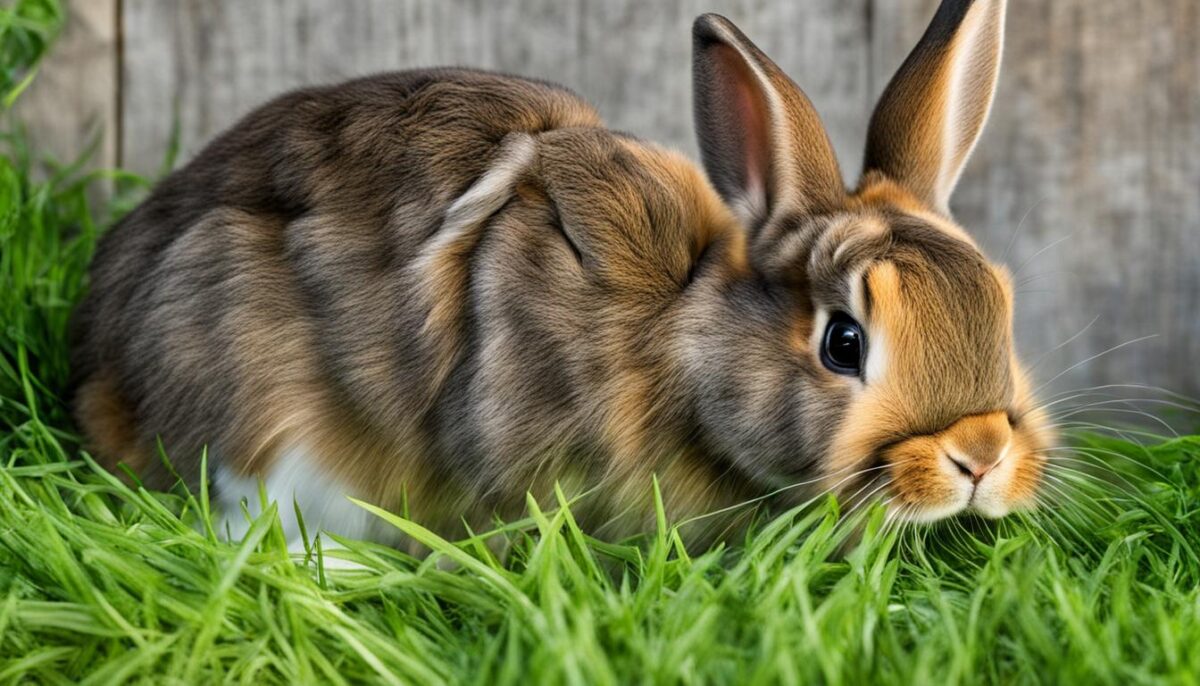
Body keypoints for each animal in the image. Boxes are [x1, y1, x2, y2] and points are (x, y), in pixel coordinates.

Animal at [72, 0, 1051, 549]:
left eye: (1003, 304)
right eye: (844, 342)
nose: (982, 456)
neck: (683, 339)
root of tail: (98, 362)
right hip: (250, 411)